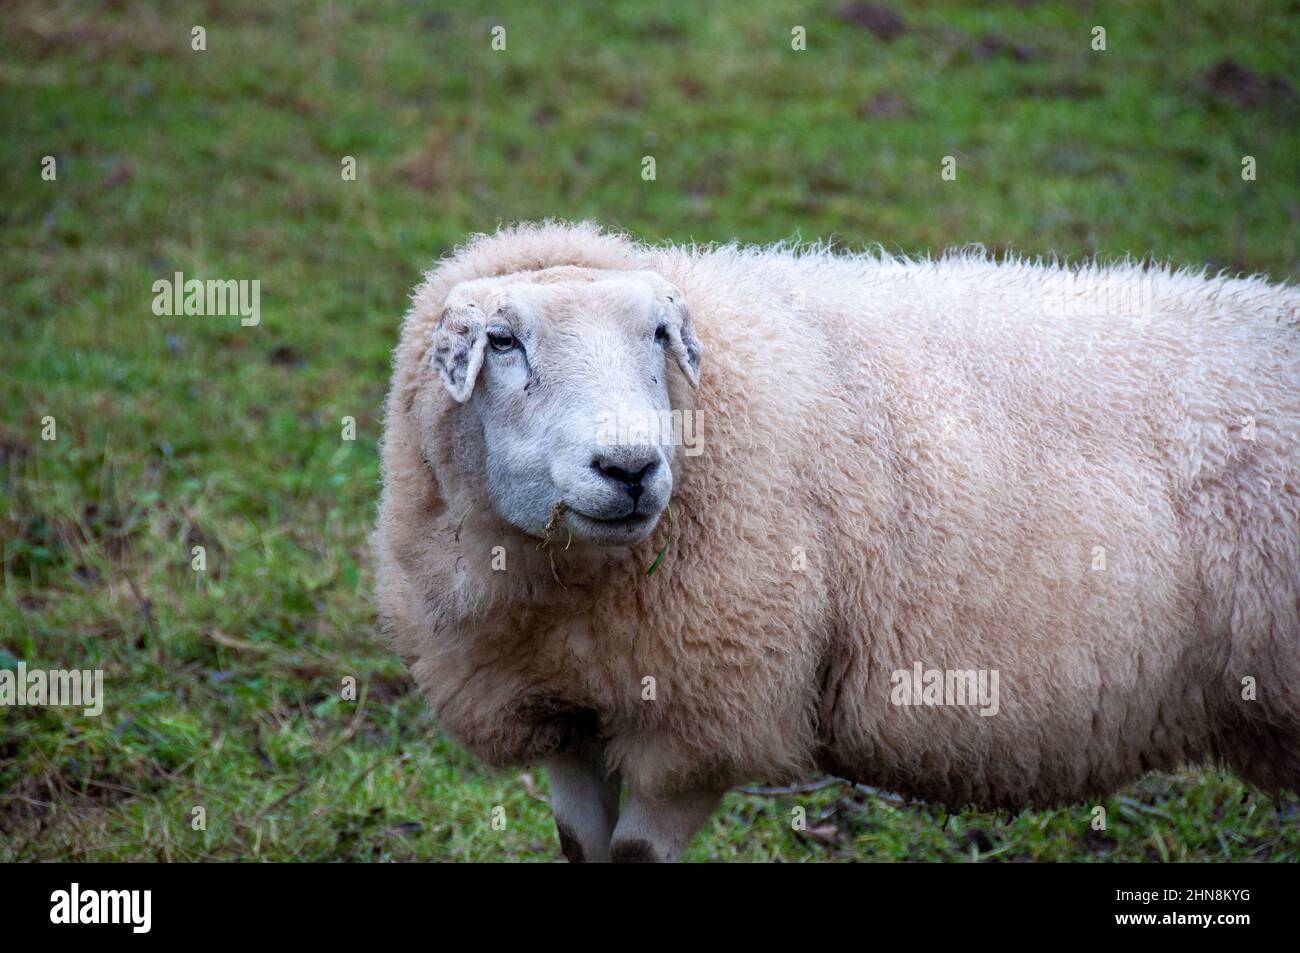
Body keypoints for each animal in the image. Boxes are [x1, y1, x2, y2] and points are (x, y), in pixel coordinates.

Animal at [374, 220, 1300, 862]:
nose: (630, 468)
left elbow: (638, 854)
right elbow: (582, 848)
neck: (563, 598)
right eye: (502, 342)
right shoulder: (558, 710)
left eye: (658, 337)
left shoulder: (706, 719)